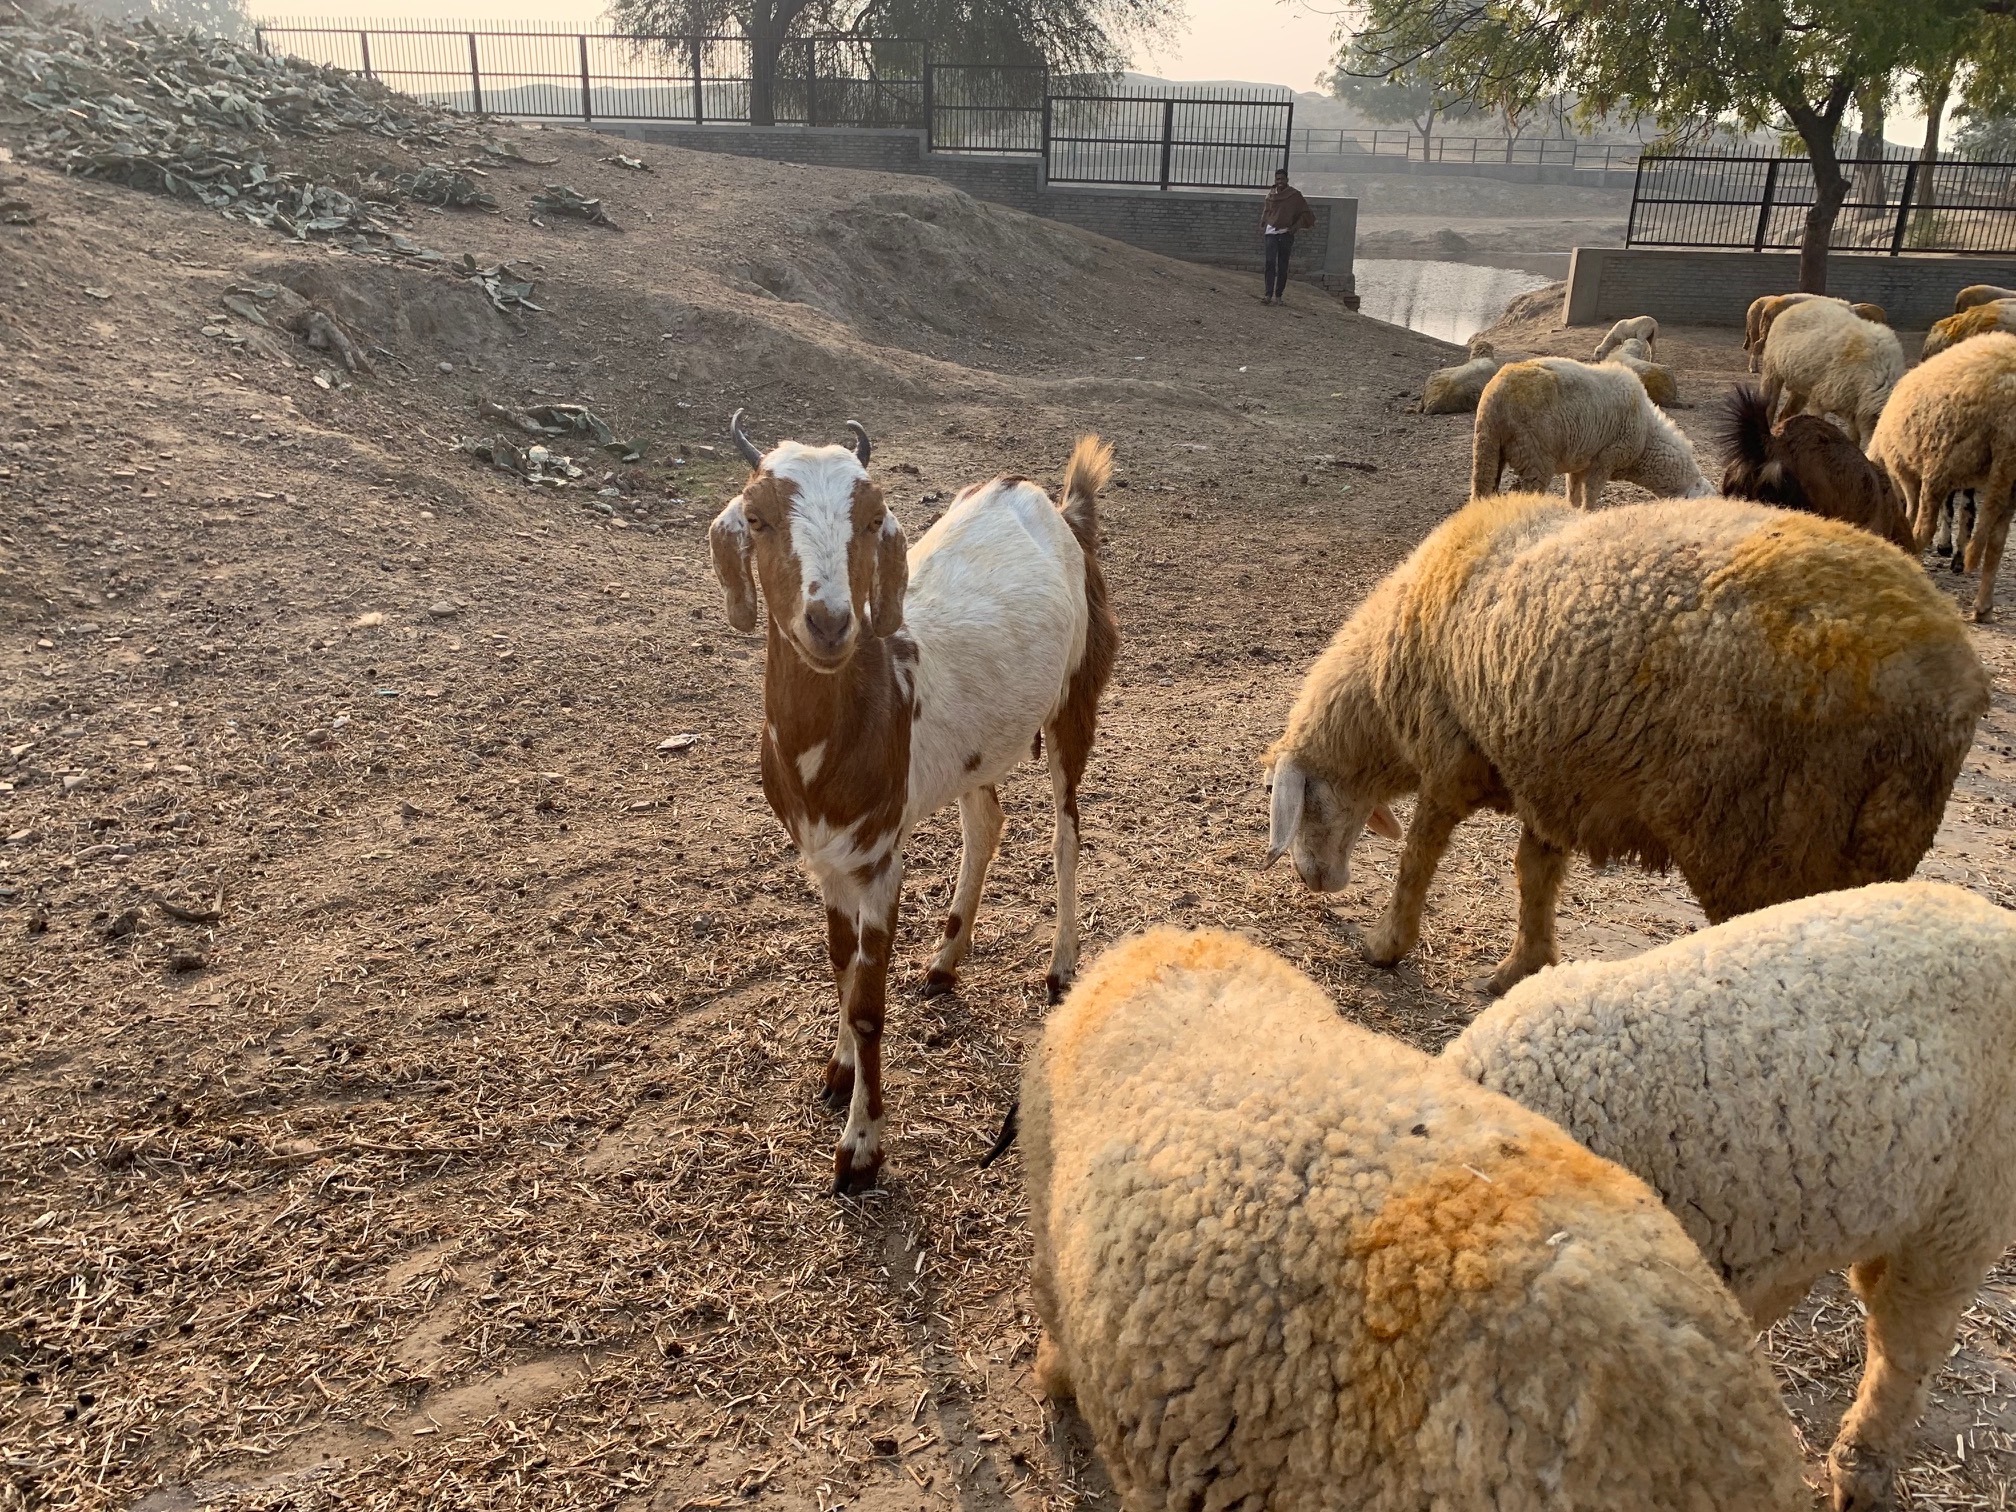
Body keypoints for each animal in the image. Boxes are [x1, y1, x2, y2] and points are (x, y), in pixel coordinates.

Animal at [708, 412, 1118, 1193]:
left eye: (873, 519)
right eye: (759, 516)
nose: (831, 622)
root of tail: (1050, 501)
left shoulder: (878, 860)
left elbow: (870, 1005)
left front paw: (861, 1151)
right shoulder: (830, 857)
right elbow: (842, 965)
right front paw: (838, 1071)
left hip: (1077, 692)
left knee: (1066, 834)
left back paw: (1061, 965)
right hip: (977, 750)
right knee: (987, 823)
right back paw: (946, 959)